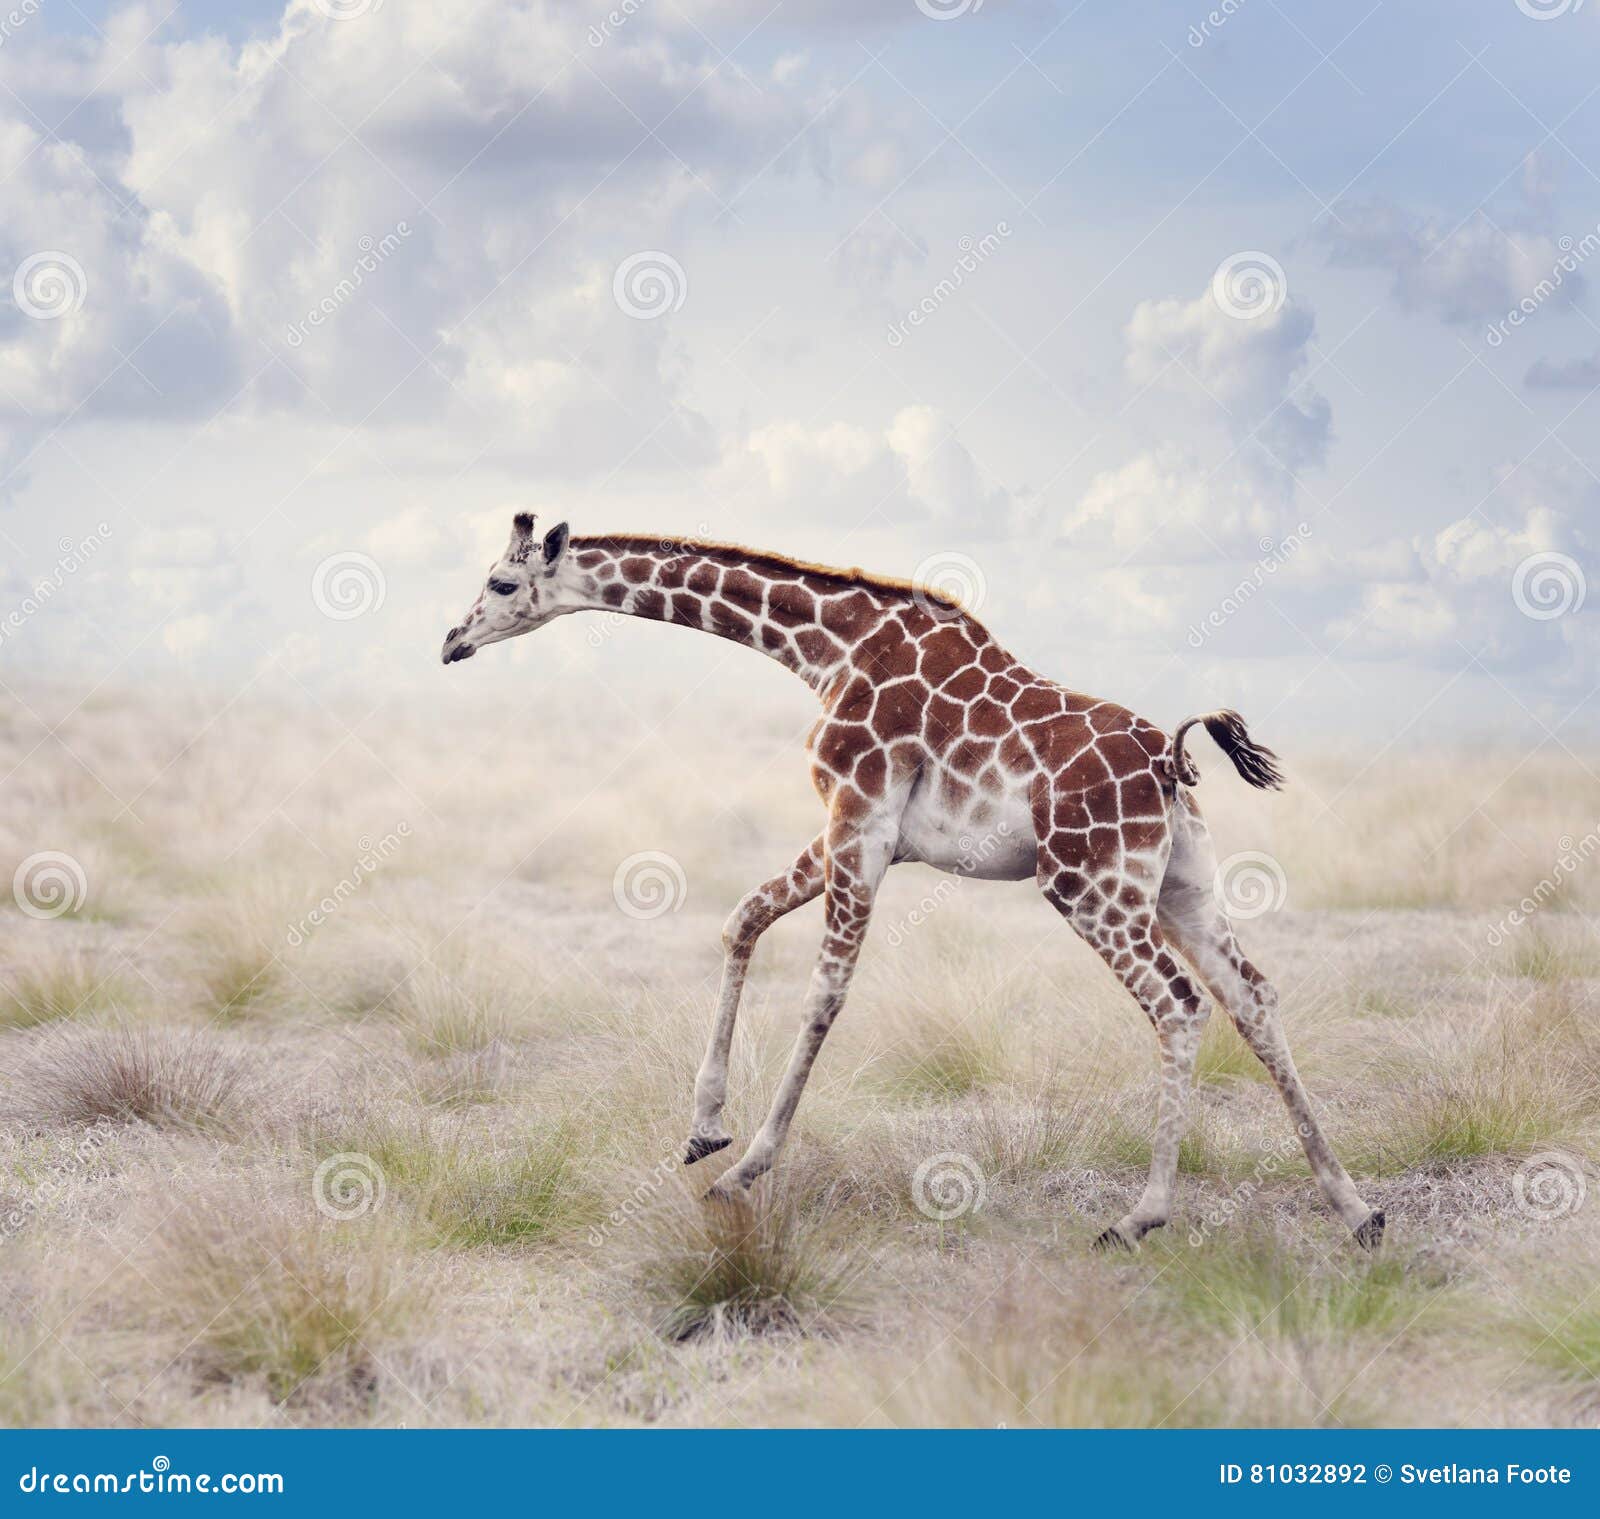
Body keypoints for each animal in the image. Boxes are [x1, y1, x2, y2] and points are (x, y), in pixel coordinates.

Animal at [442, 514, 1384, 1251]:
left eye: (499, 579)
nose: (451, 642)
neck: (824, 645)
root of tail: (1169, 758)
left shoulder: (857, 819)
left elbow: (824, 992)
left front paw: (744, 1169)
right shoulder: (856, 833)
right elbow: (741, 920)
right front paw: (704, 1128)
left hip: (1088, 881)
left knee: (1180, 1003)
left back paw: (1140, 1216)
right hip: (1181, 884)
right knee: (1252, 995)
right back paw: (1355, 1206)